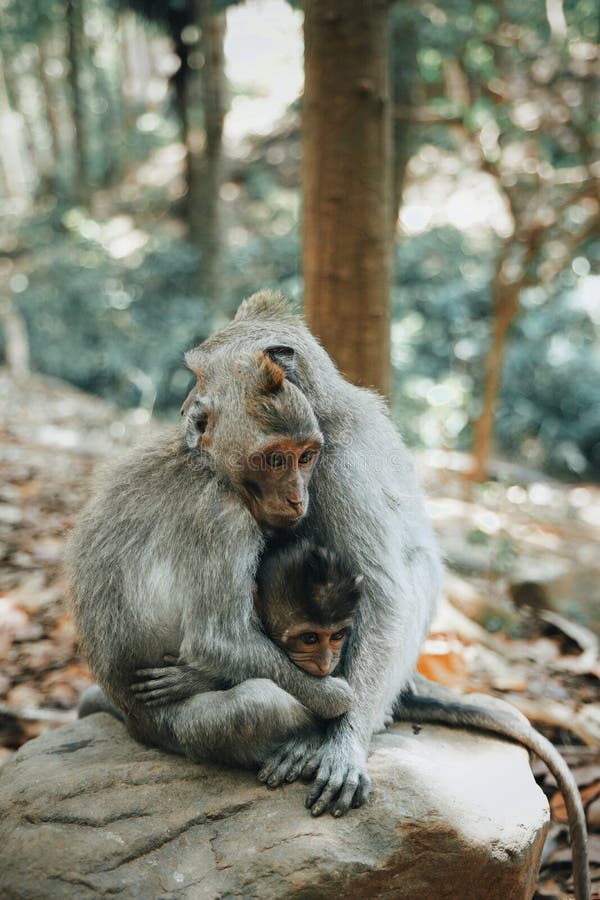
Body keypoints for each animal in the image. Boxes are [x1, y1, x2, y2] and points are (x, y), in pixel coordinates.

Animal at [67, 290, 590, 897]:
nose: (188, 413)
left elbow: (383, 595)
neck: (324, 410)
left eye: (198, 377)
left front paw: (341, 737)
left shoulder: (337, 469)